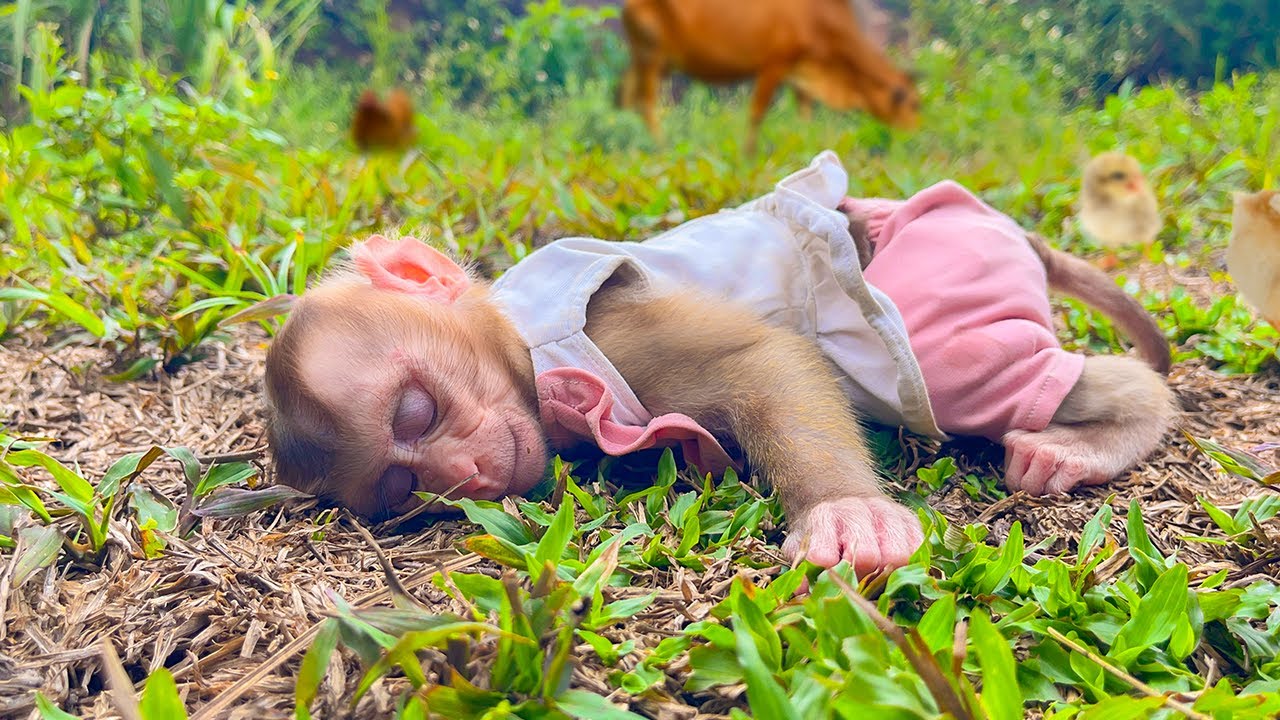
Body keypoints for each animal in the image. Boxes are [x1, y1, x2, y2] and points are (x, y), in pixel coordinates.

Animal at [264, 152, 1174, 577]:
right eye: (405, 489)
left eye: (415, 413)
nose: (464, 473)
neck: (521, 344)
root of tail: (1008, 229)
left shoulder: (606, 327)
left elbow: (764, 356)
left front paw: (845, 508)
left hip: (953, 279)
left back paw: (1104, 430)